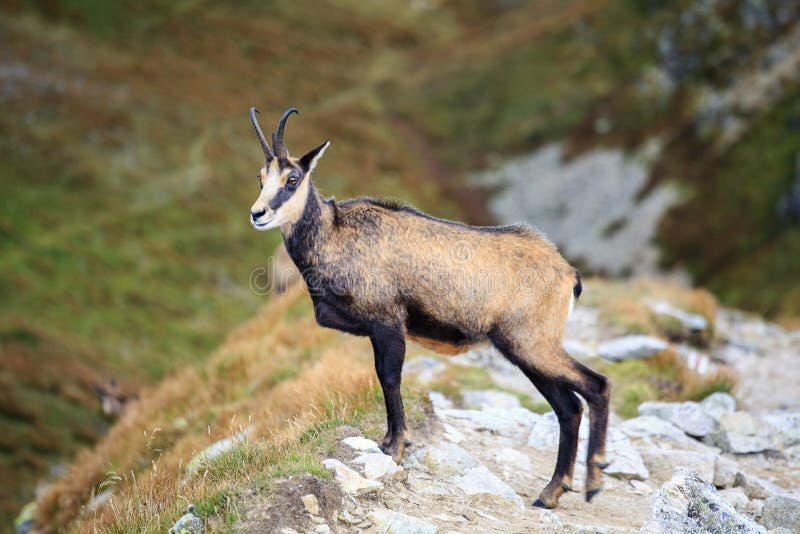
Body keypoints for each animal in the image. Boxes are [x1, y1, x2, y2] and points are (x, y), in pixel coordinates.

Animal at [247, 107, 611, 508]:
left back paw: (593, 480)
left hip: (532, 344)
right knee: (569, 408)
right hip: (527, 351)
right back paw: (551, 492)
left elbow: (389, 378)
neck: (337, 235)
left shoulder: (388, 323)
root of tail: (567, 273)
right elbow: (383, 378)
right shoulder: (377, 331)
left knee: (596, 385)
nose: (258, 213)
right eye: (261, 177)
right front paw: (388, 442)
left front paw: (396, 447)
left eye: (293, 178)